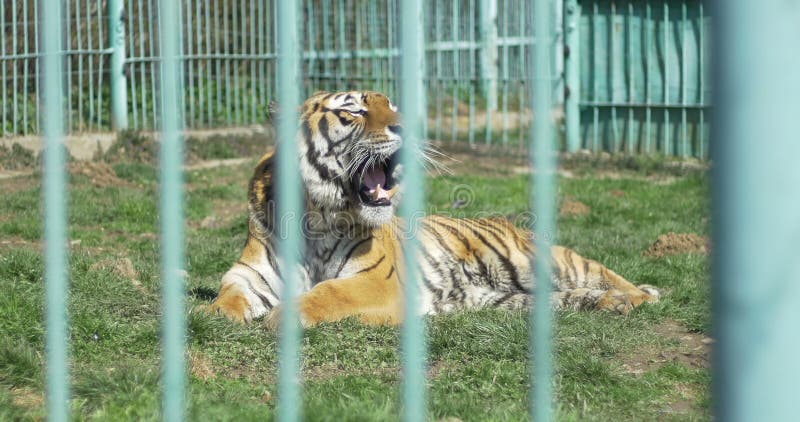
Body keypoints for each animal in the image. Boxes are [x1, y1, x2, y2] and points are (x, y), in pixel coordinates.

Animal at [206, 90, 660, 327]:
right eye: (353, 109)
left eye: (393, 107)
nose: (405, 127)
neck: (317, 215)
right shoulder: (249, 276)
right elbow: (229, 298)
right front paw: (210, 316)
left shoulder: (376, 282)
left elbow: (327, 293)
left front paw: (283, 318)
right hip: (502, 298)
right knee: (564, 299)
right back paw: (609, 304)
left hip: (538, 260)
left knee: (603, 273)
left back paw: (640, 295)